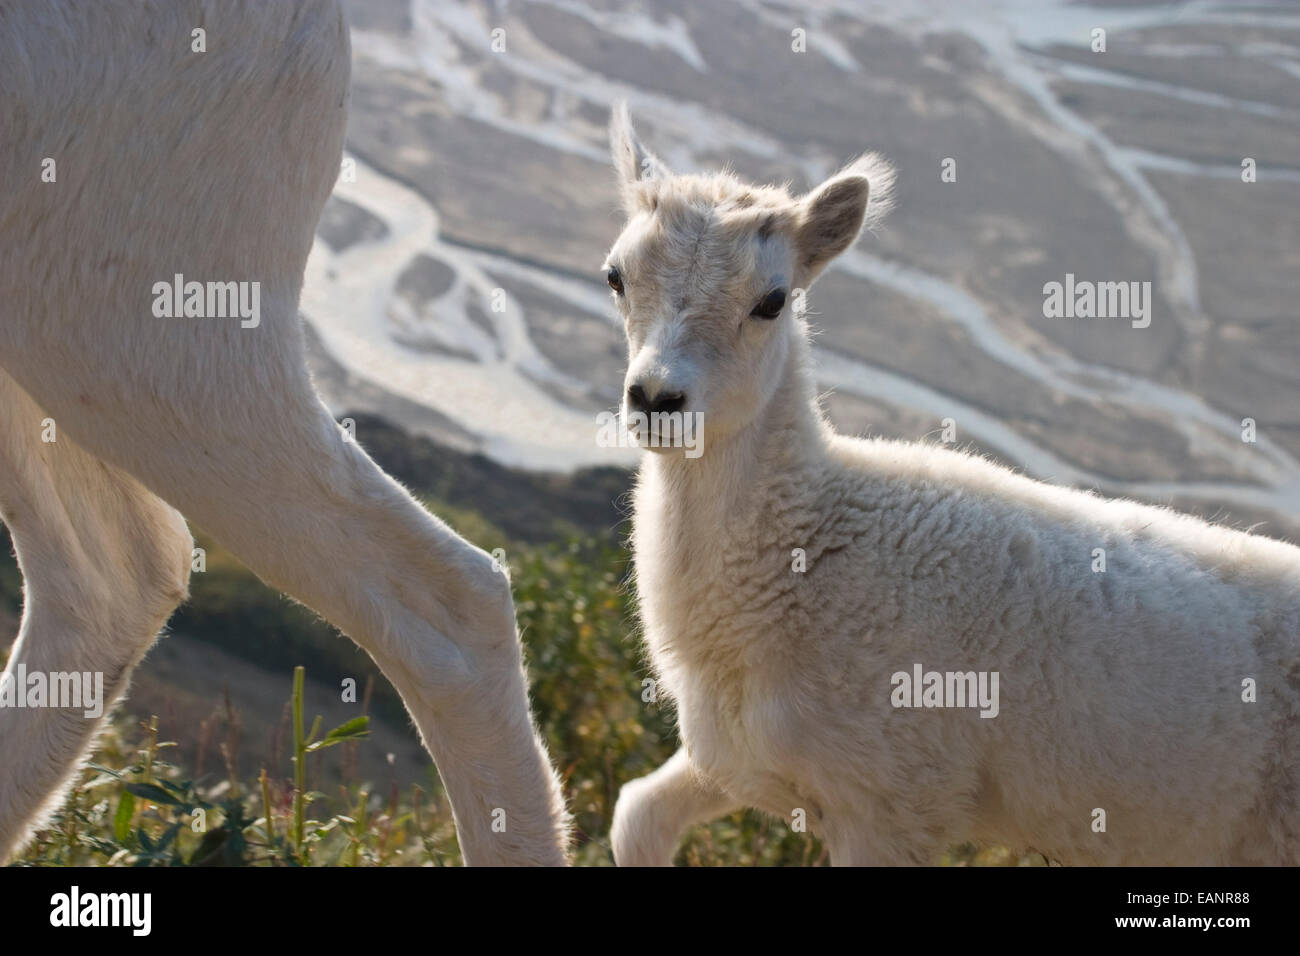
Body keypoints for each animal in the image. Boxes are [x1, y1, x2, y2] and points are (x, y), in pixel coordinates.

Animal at [603, 105, 1300, 866]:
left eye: (772, 300)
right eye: (615, 276)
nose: (657, 399)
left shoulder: (890, 802)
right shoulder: (743, 761)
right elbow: (636, 813)